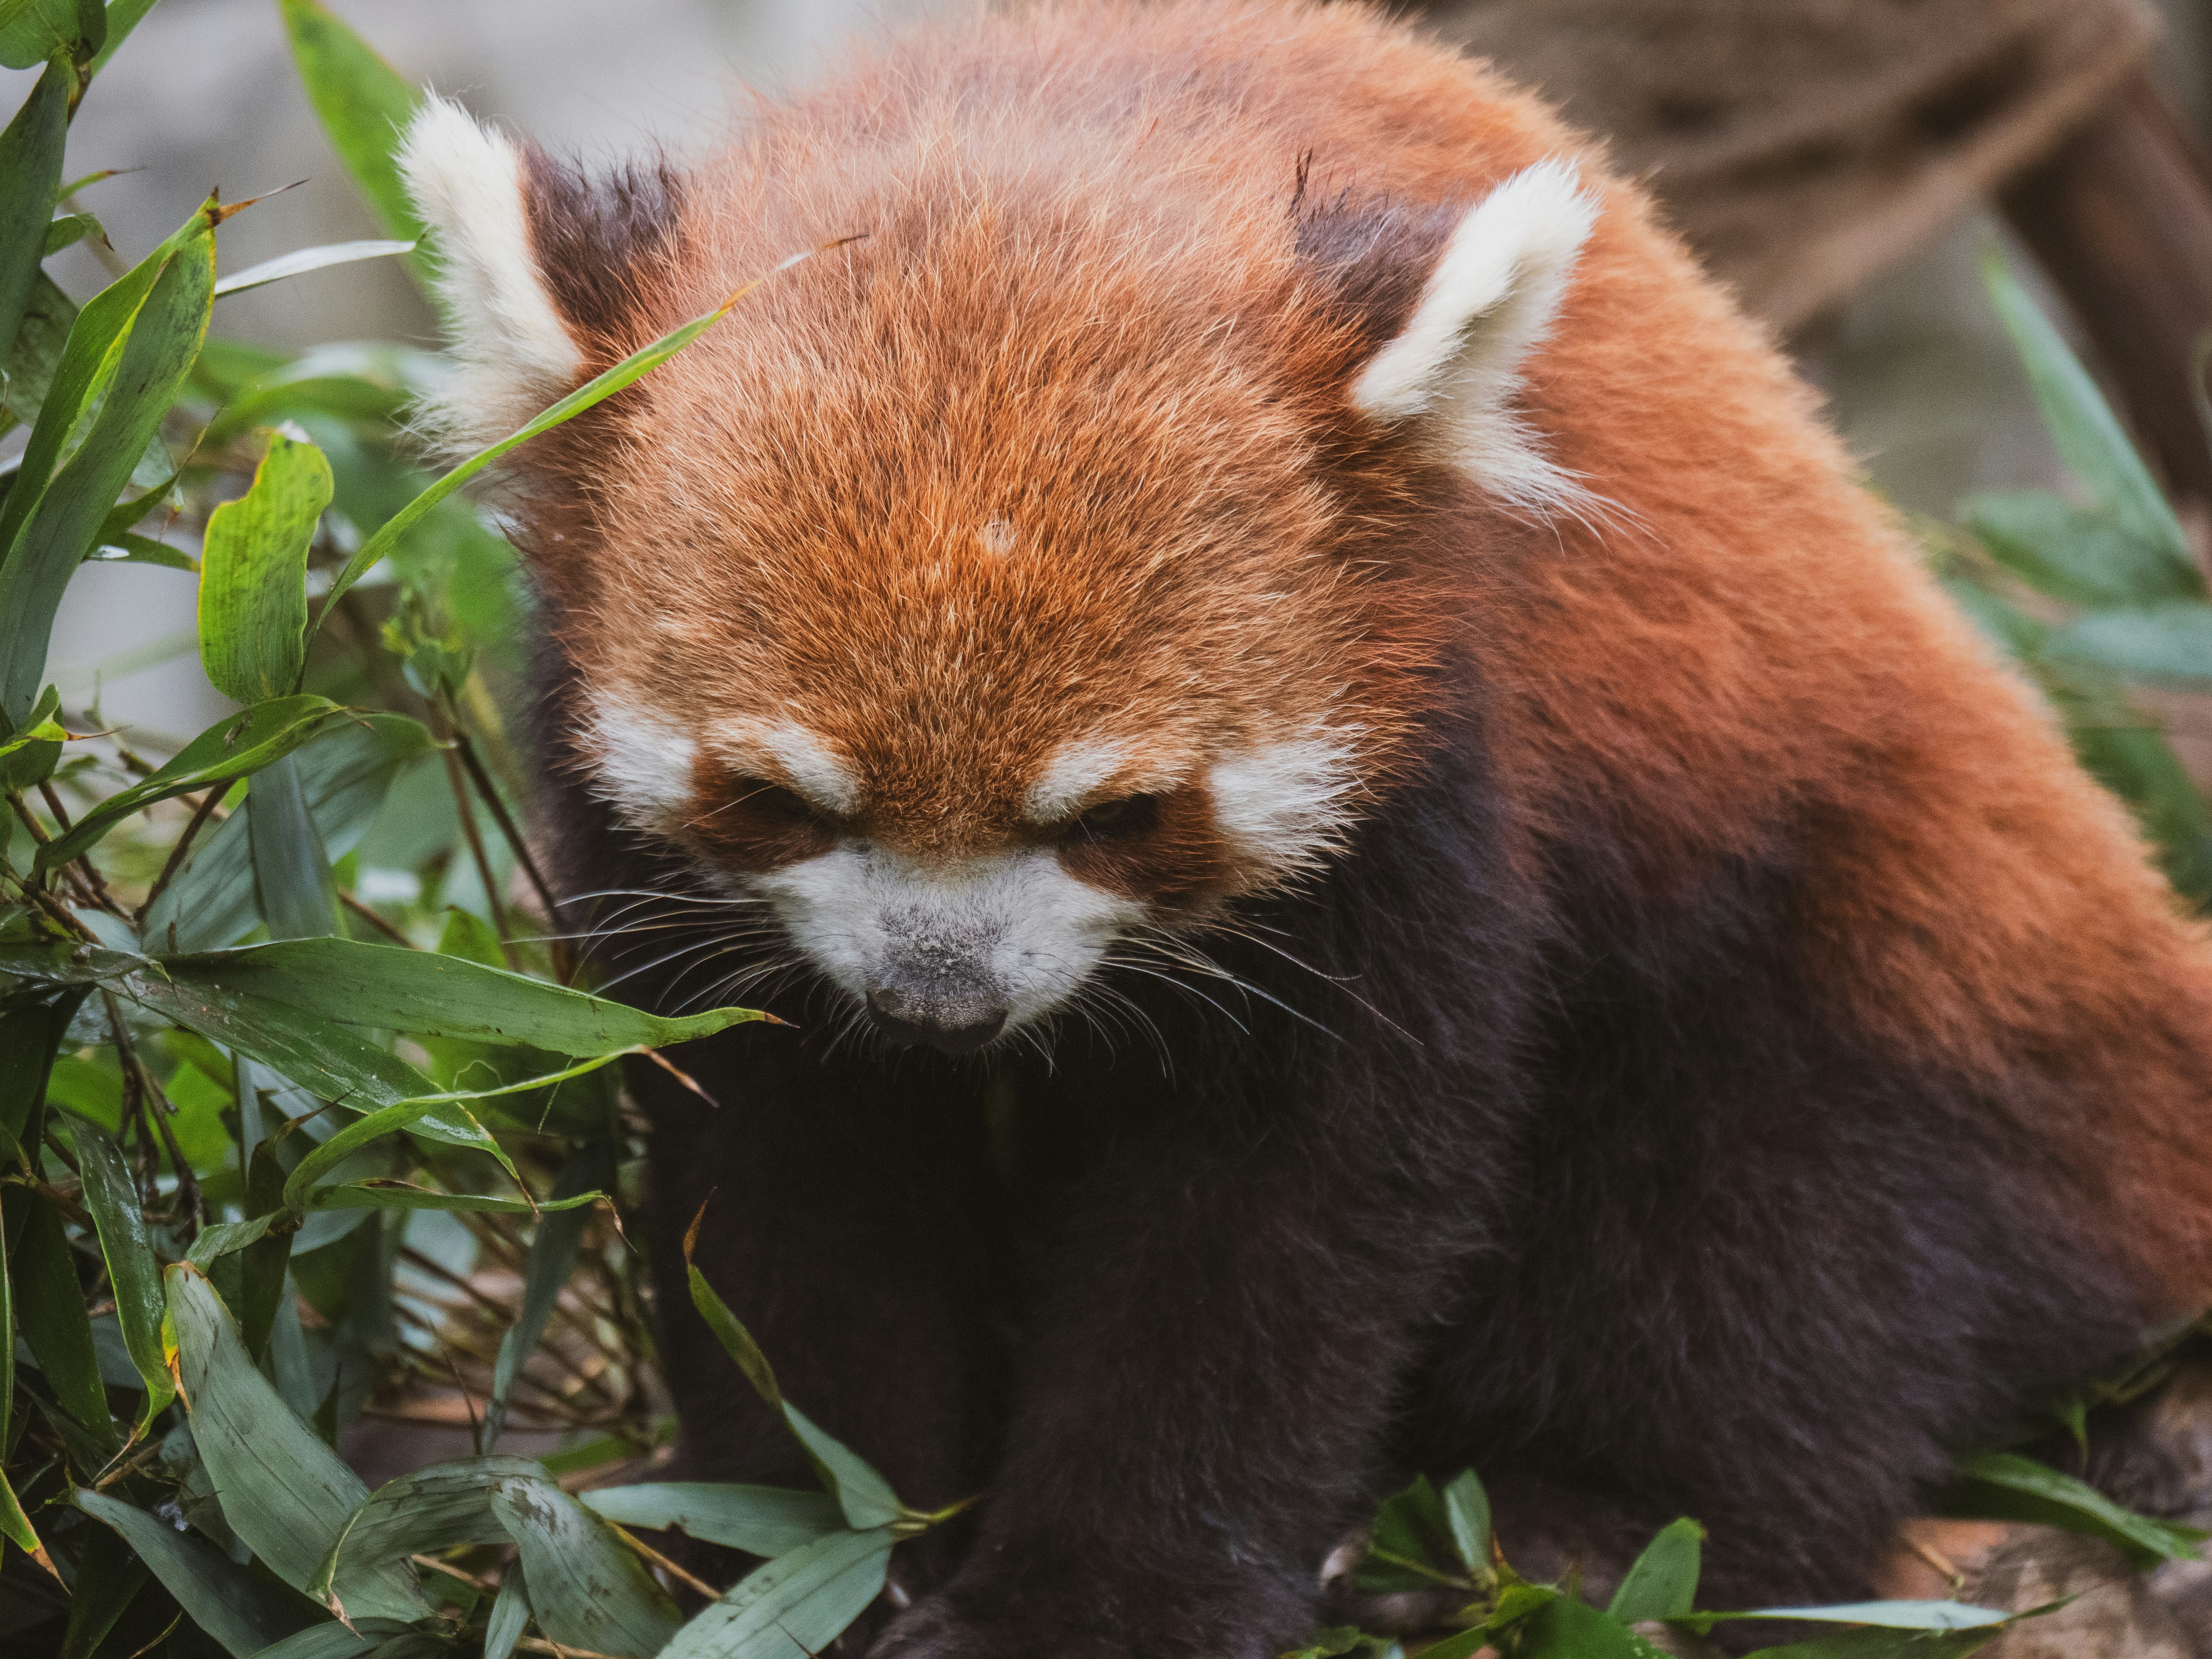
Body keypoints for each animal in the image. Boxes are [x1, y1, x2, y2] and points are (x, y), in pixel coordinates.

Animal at [396, 2, 2212, 1652]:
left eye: (1123, 813)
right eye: (778, 799)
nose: (940, 996)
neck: (1026, 132)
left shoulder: (1433, 779)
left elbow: (1279, 1227)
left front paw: (1089, 1605)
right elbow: (786, 1176)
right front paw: (814, 1537)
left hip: (1880, 942)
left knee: (1775, 1248)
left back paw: (1583, 1535)